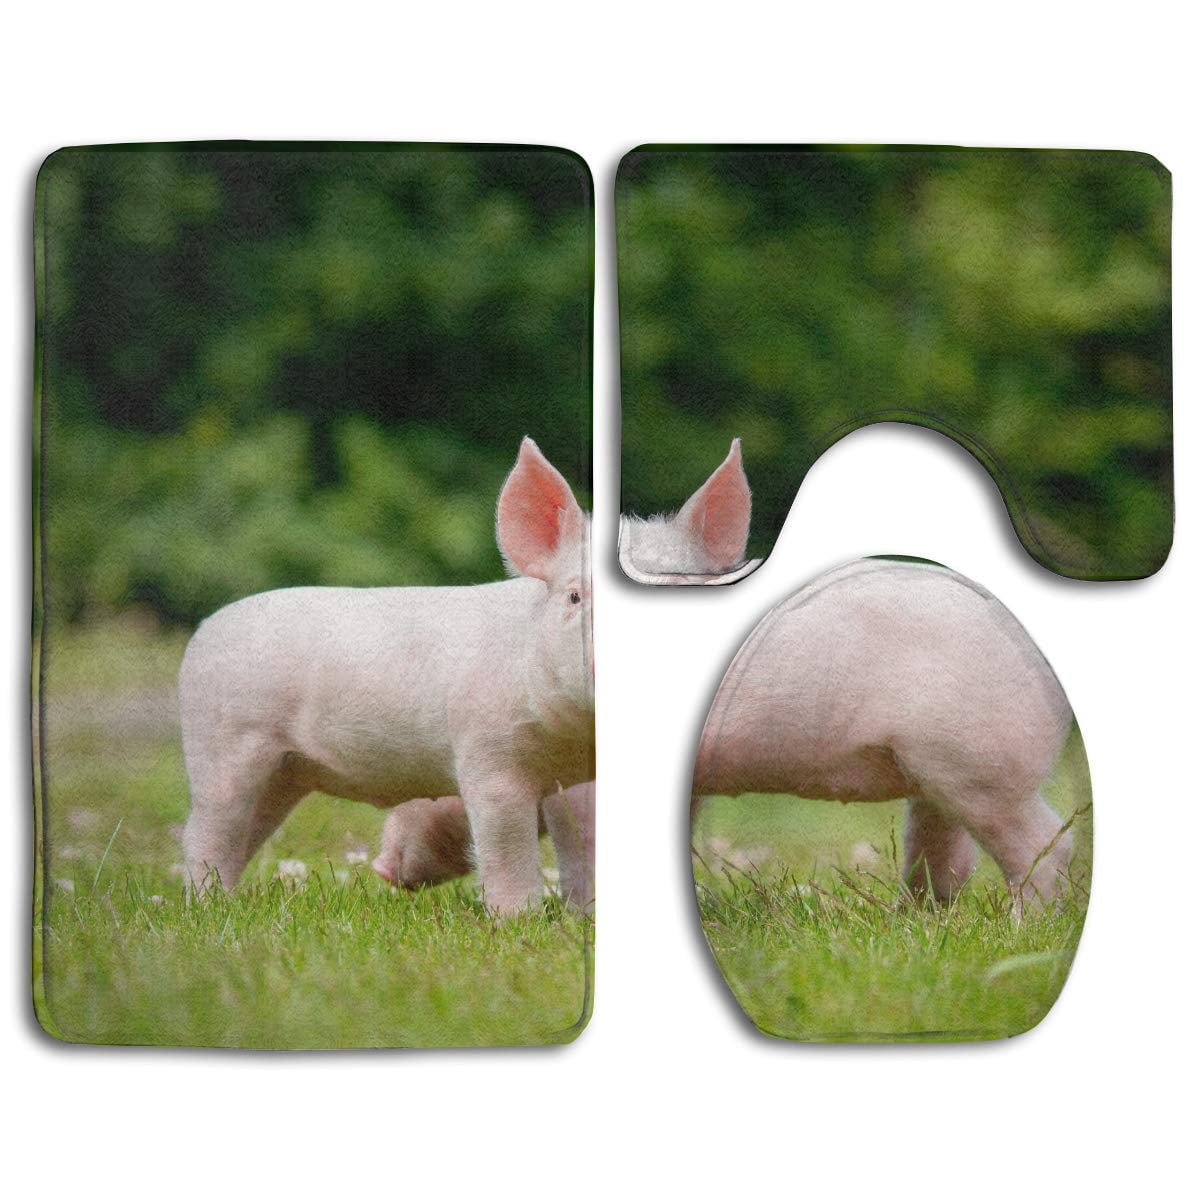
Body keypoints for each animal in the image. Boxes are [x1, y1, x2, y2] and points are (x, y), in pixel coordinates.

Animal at [692, 558, 1078, 911]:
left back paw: (1022, 926)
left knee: (1046, 845)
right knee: (947, 858)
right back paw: (909, 920)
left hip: (982, 764)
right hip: (941, 772)